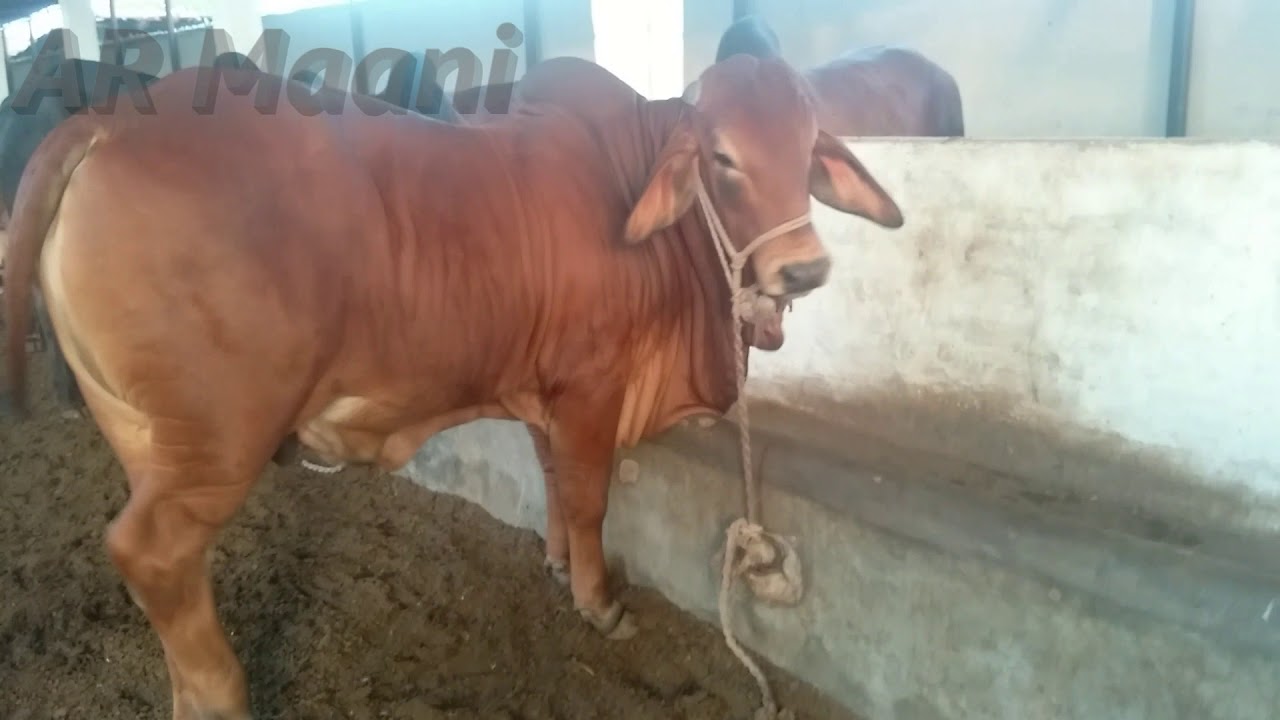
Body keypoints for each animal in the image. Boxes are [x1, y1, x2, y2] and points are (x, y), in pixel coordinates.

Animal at [4, 54, 902, 719]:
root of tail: (107, 121)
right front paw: (598, 600)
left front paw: (555, 565)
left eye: (811, 147)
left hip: (142, 432)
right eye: (722, 157)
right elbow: (589, 497)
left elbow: (553, 481)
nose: (803, 270)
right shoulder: (592, 384)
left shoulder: (547, 391)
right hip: (221, 439)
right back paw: (224, 696)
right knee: (149, 553)